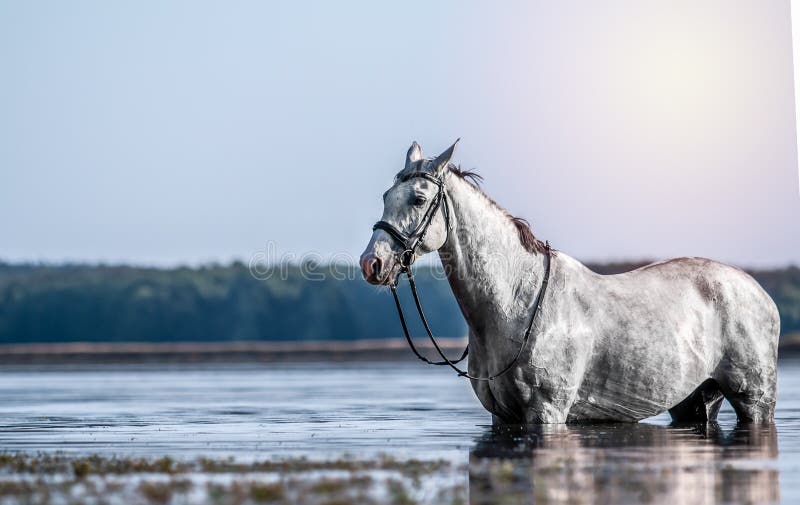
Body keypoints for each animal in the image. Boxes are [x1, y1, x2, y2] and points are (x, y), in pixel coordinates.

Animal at [359, 140, 780, 425]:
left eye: (418, 198)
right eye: (385, 195)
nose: (371, 263)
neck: (516, 303)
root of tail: (760, 293)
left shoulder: (547, 413)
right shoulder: (503, 417)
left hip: (755, 401)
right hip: (696, 400)